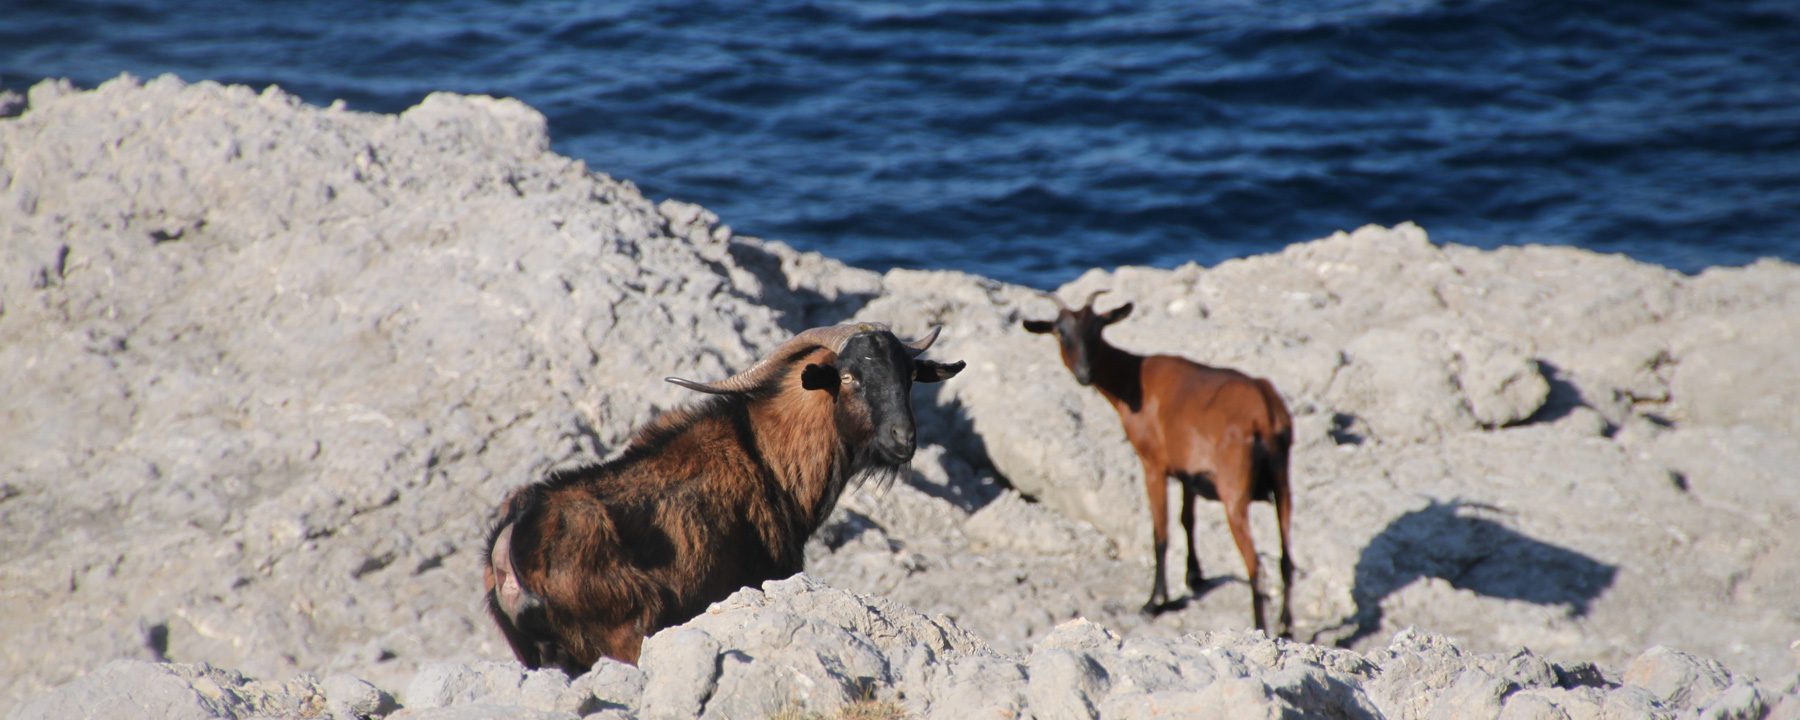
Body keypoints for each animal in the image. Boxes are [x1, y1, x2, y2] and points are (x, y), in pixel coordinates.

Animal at [483, 322, 965, 672]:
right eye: (849, 377)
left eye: (909, 377)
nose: (903, 438)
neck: (766, 454)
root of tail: (511, 548)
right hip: (623, 631)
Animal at [1024, 291, 1294, 636]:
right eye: (1061, 332)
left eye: (1097, 329)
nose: (1084, 373)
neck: (1133, 380)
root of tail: (1266, 414)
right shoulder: (1189, 470)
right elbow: (1187, 520)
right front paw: (1194, 577)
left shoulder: (1153, 464)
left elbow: (1160, 532)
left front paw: (1155, 601)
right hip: (1282, 481)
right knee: (1287, 559)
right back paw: (1285, 626)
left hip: (1235, 491)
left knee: (1255, 564)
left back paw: (1260, 627)